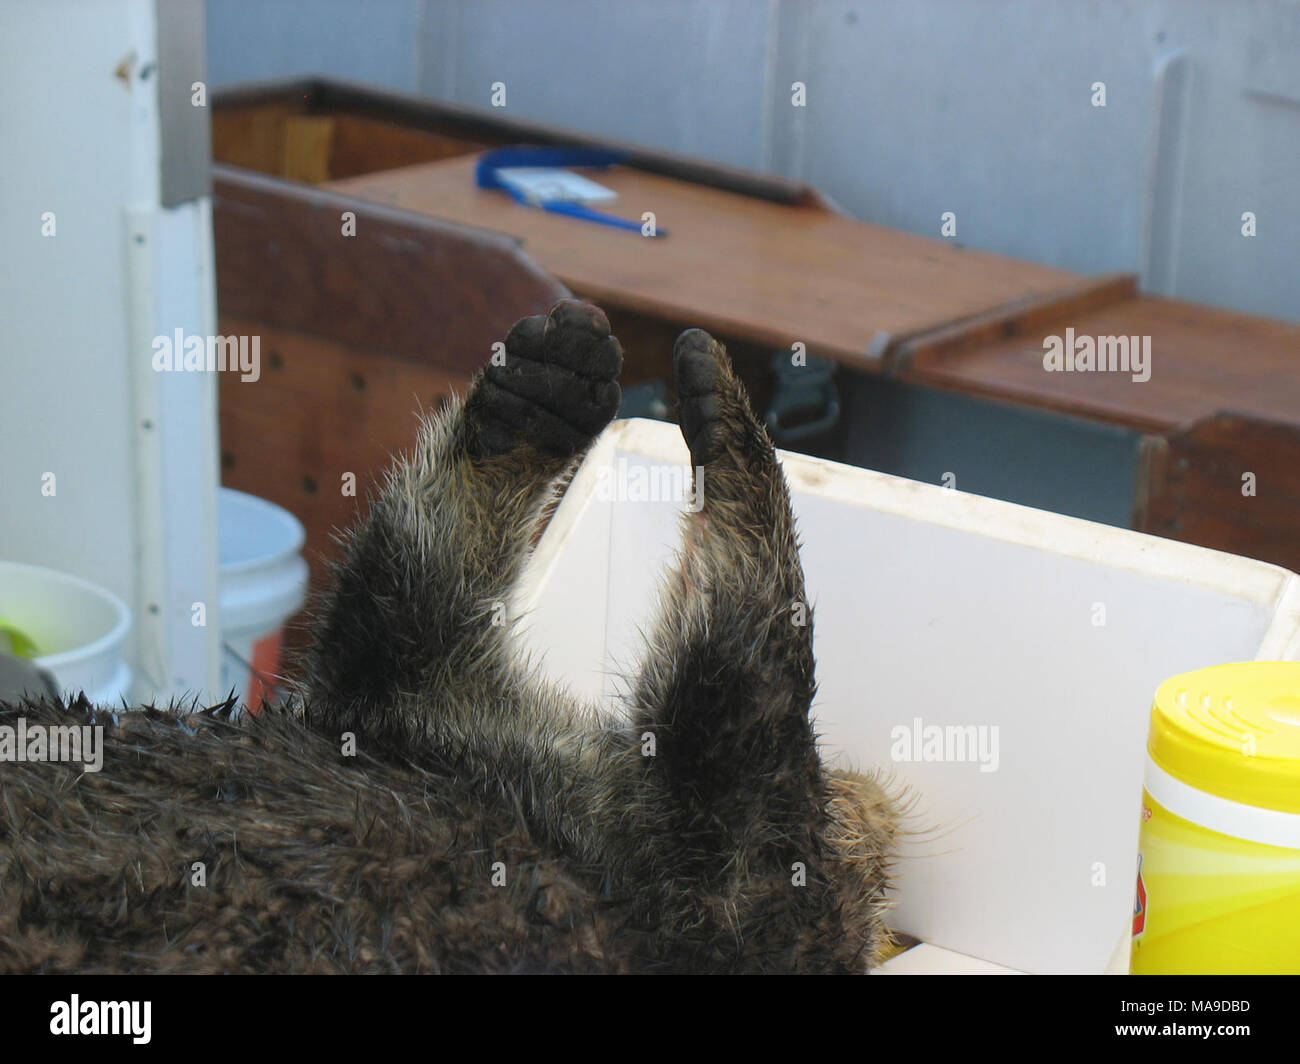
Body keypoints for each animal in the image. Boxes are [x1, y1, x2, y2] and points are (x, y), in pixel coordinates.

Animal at [0, 301, 898, 973]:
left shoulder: (735, 886)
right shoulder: (395, 713)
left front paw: (736, 430)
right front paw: (538, 394)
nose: (872, 793)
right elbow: (399, 607)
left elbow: (744, 681)